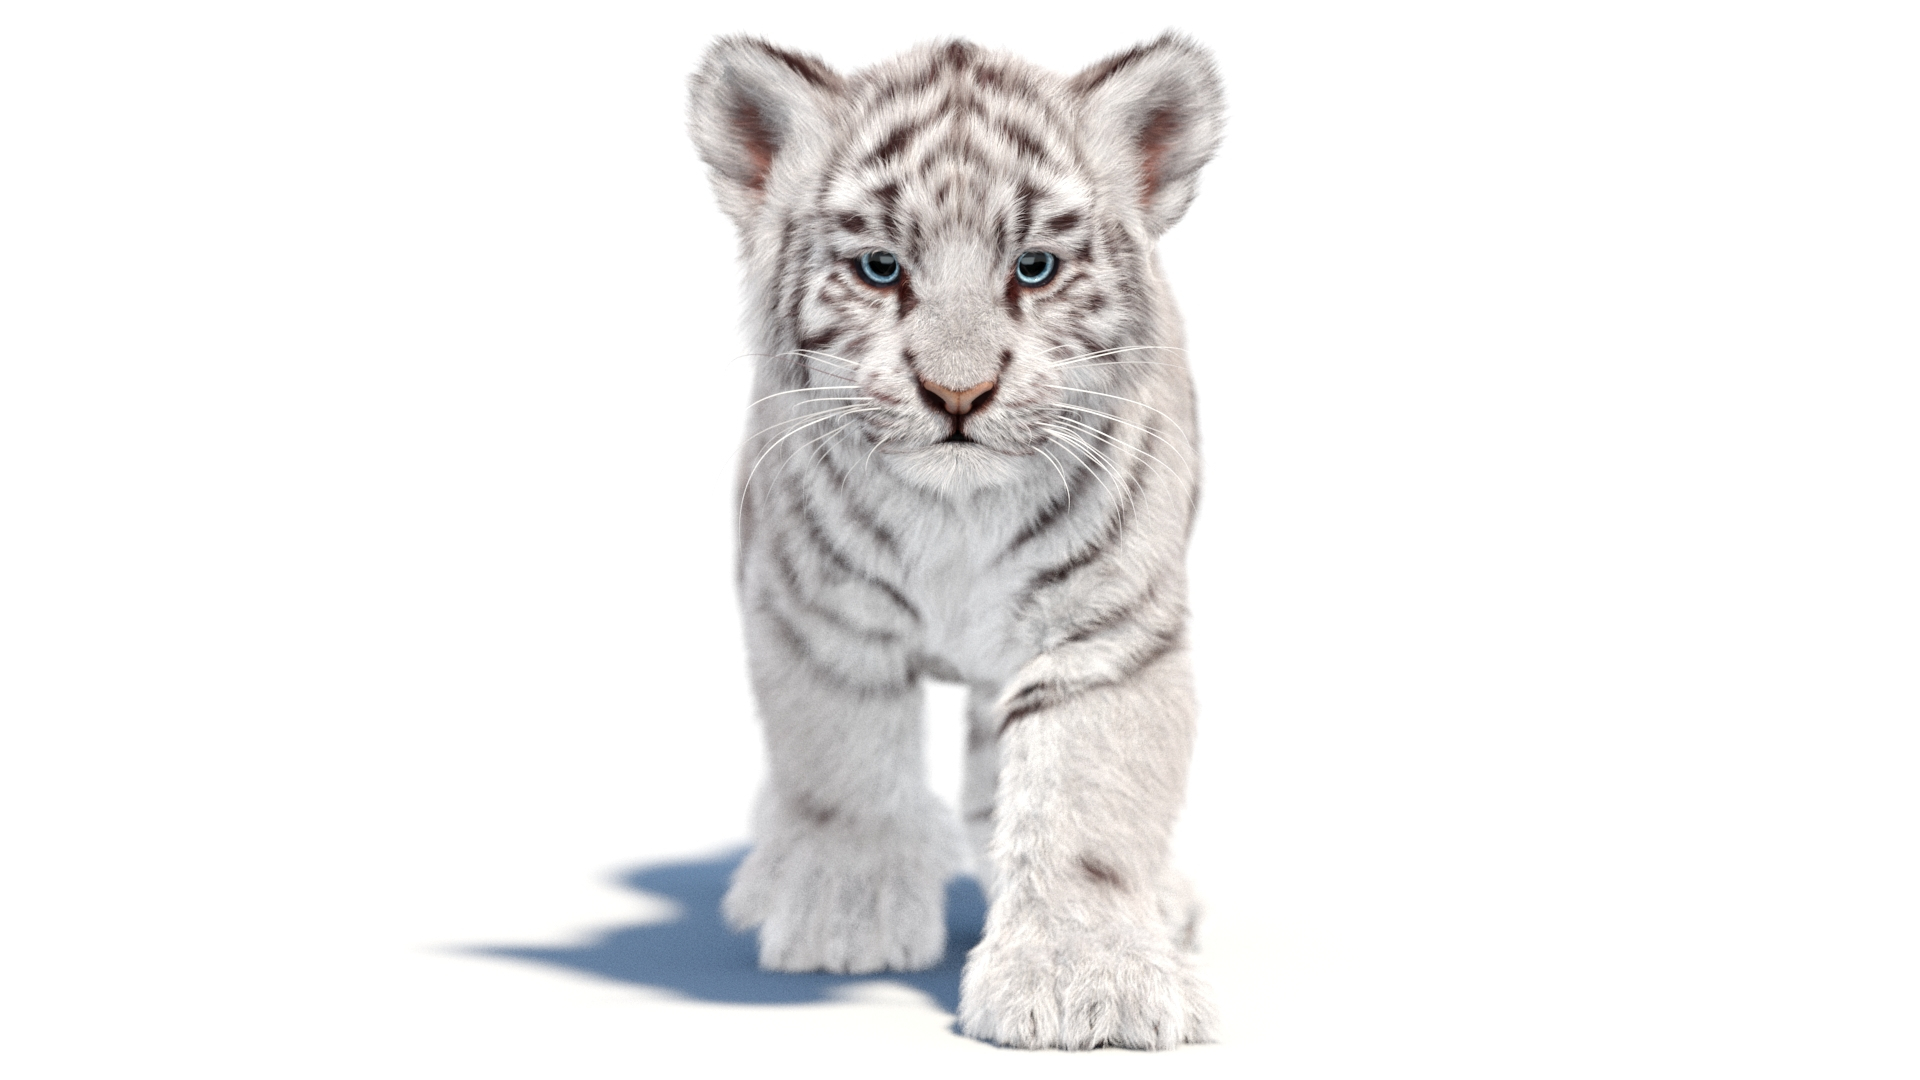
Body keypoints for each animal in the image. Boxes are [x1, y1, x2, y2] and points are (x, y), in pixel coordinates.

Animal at [687, 33, 1225, 1050]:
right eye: (880, 268)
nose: (957, 393)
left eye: (1034, 269)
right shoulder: (821, 620)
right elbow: (842, 763)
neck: (957, 516)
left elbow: (1085, 803)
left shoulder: (1100, 638)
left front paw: (1084, 982)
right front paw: (845, 917)